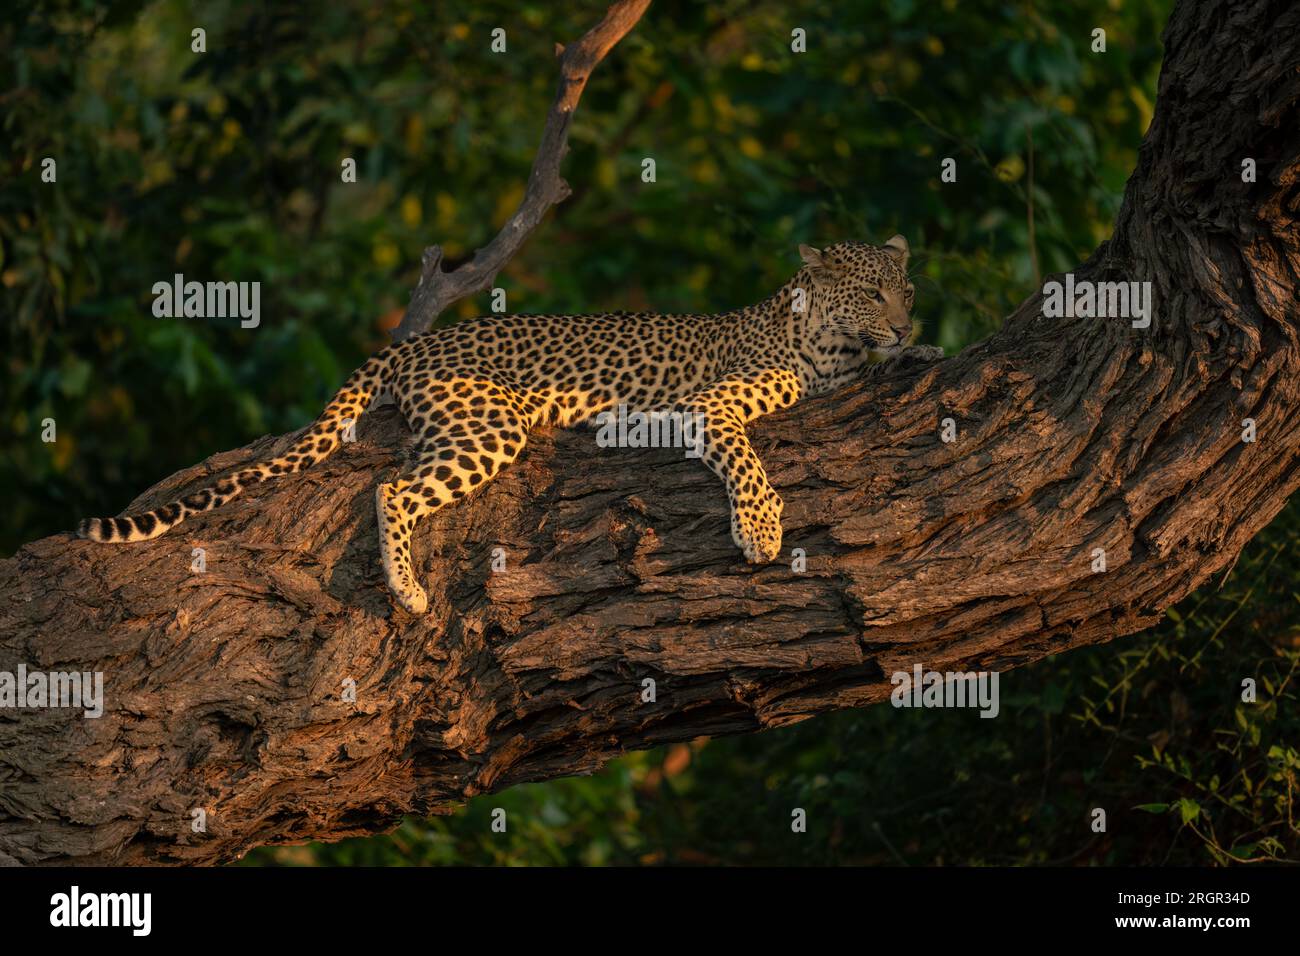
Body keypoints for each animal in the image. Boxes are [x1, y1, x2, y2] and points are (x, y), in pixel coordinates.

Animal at [78, 235, 942, 614]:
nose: (905, 321)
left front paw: (924, 350)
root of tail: (417, 340)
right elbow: (744, 457)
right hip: (486, 424)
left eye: (905, 288)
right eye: (872, 292)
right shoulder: (714, 405)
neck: (828, 344)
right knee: (391, 489)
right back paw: (408, 589)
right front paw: (761, 529)